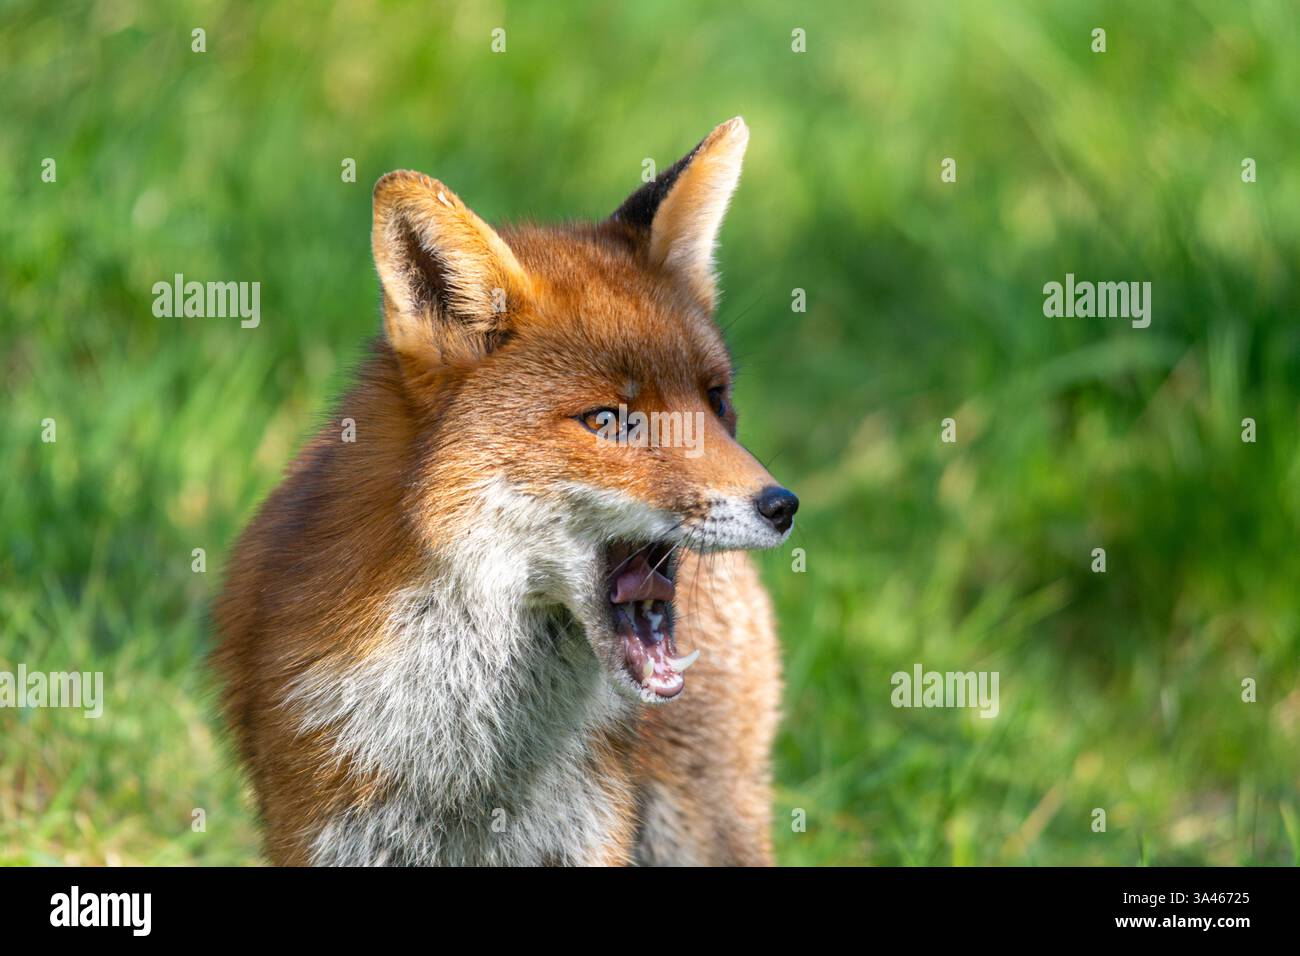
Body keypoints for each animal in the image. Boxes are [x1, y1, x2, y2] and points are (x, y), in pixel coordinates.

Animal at [212, 117, 799, 866]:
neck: (469, 775)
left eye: (716, 400)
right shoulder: (328, 831)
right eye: (607, 421)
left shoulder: (587, 836)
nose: (781, 505)